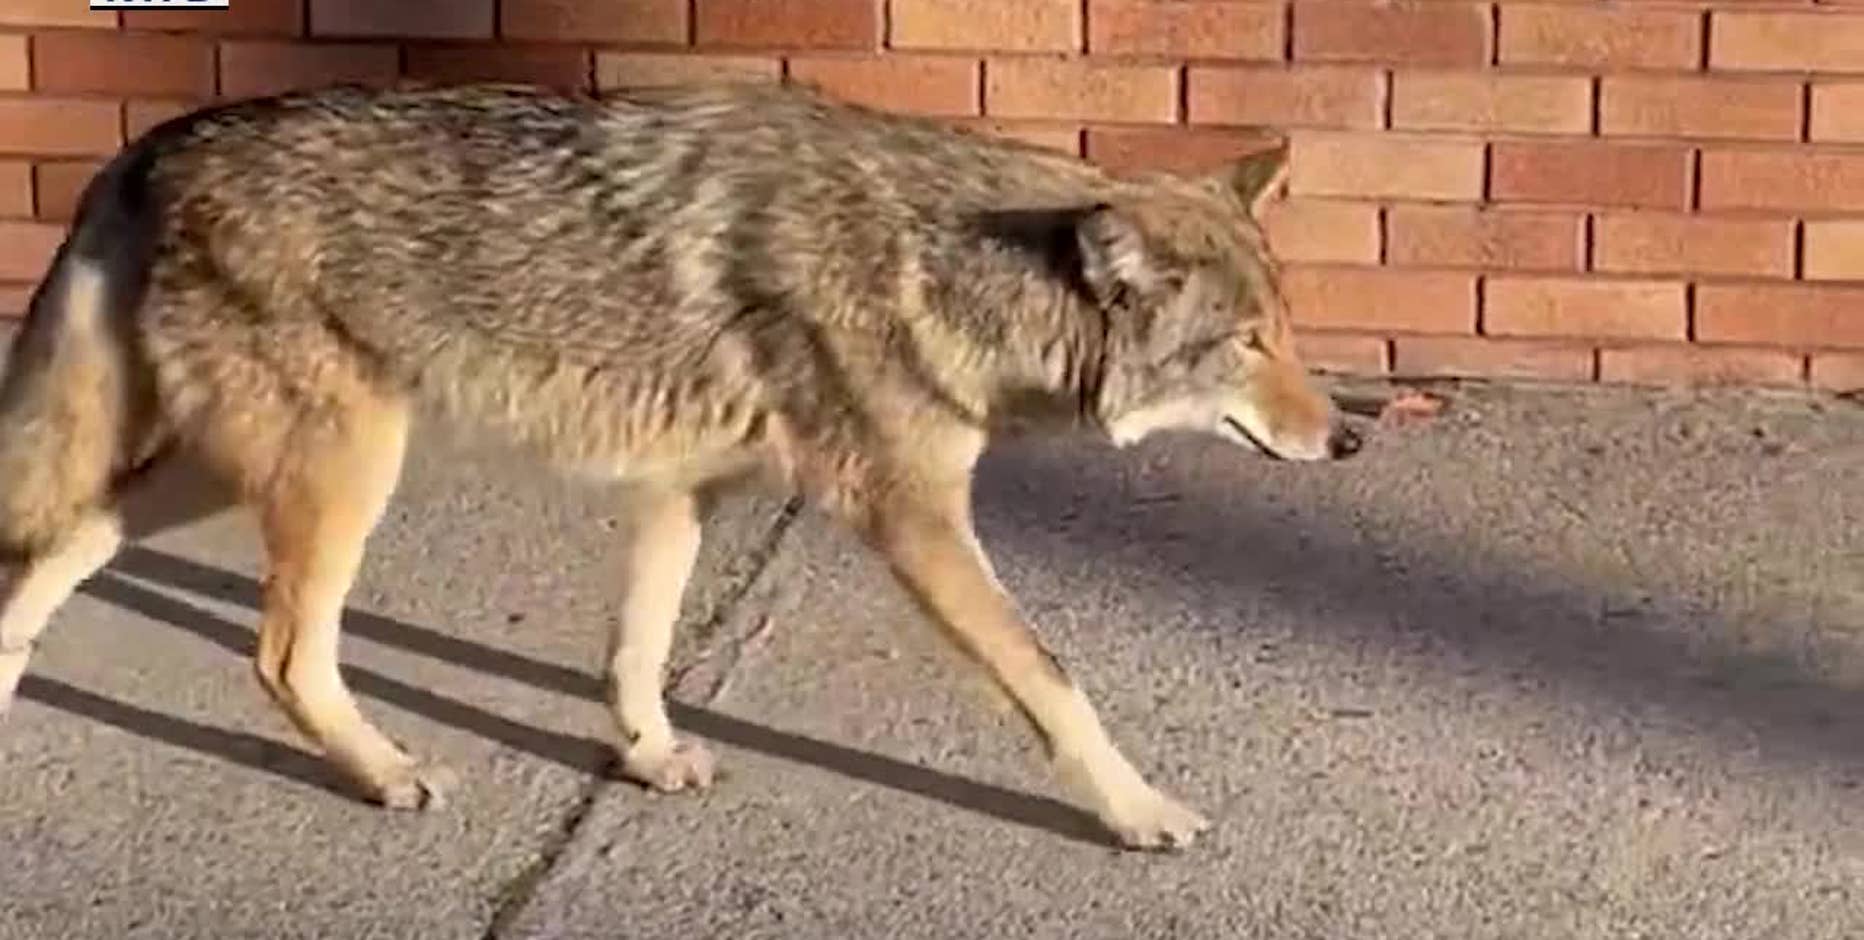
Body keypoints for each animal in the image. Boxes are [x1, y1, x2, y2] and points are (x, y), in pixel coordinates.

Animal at [0, 81, 1361, 850]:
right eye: (1246, 343)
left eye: (1289, 331)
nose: (1346, 436)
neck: (939, 264)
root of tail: (154, 140)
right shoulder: (914, 520)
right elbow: (1053, 682)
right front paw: (1138, 813)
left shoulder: (681, 490)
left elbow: (638, 651)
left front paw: (646, 755)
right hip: (339, 474)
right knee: (282, 654)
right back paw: (388, 773)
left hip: (231, 472)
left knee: (60, 542)